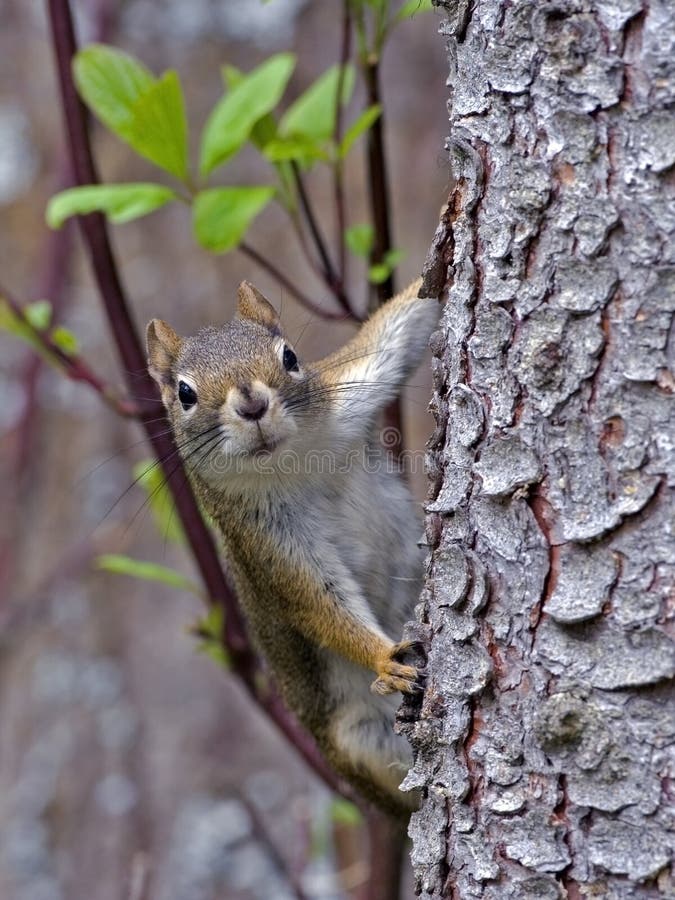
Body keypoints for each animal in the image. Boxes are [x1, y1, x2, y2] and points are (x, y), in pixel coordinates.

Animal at [146, 278, 439, 817]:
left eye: (290, 357)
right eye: (184, 393)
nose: (252, 405)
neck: (290, 464)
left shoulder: (351, 394)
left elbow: (395, 333)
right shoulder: (264, 542)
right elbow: (317, 602)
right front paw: (383, 658)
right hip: (358, 744)